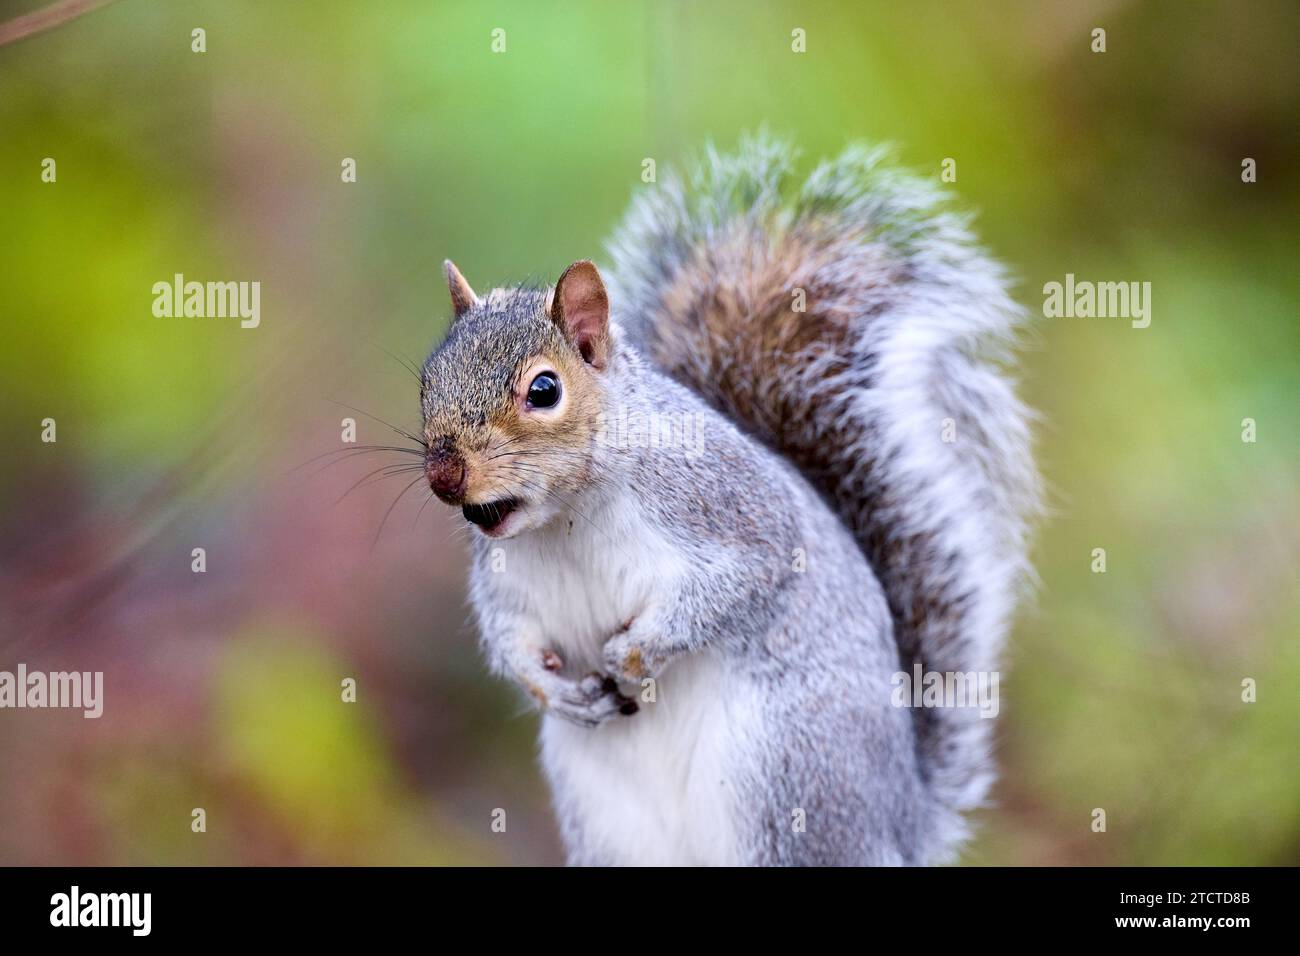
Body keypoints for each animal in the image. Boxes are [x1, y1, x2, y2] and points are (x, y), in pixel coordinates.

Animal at [419, 134, 1037, 865]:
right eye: (428, 377)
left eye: (544, 390)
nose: (444, 473)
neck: (565, 520)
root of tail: (899, 826)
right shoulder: (506, 578)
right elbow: (507, 632)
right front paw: (553, 690)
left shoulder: (723, 503)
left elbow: (742, 580)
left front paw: (635, 653)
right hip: (611, 827)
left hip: (781, 778)